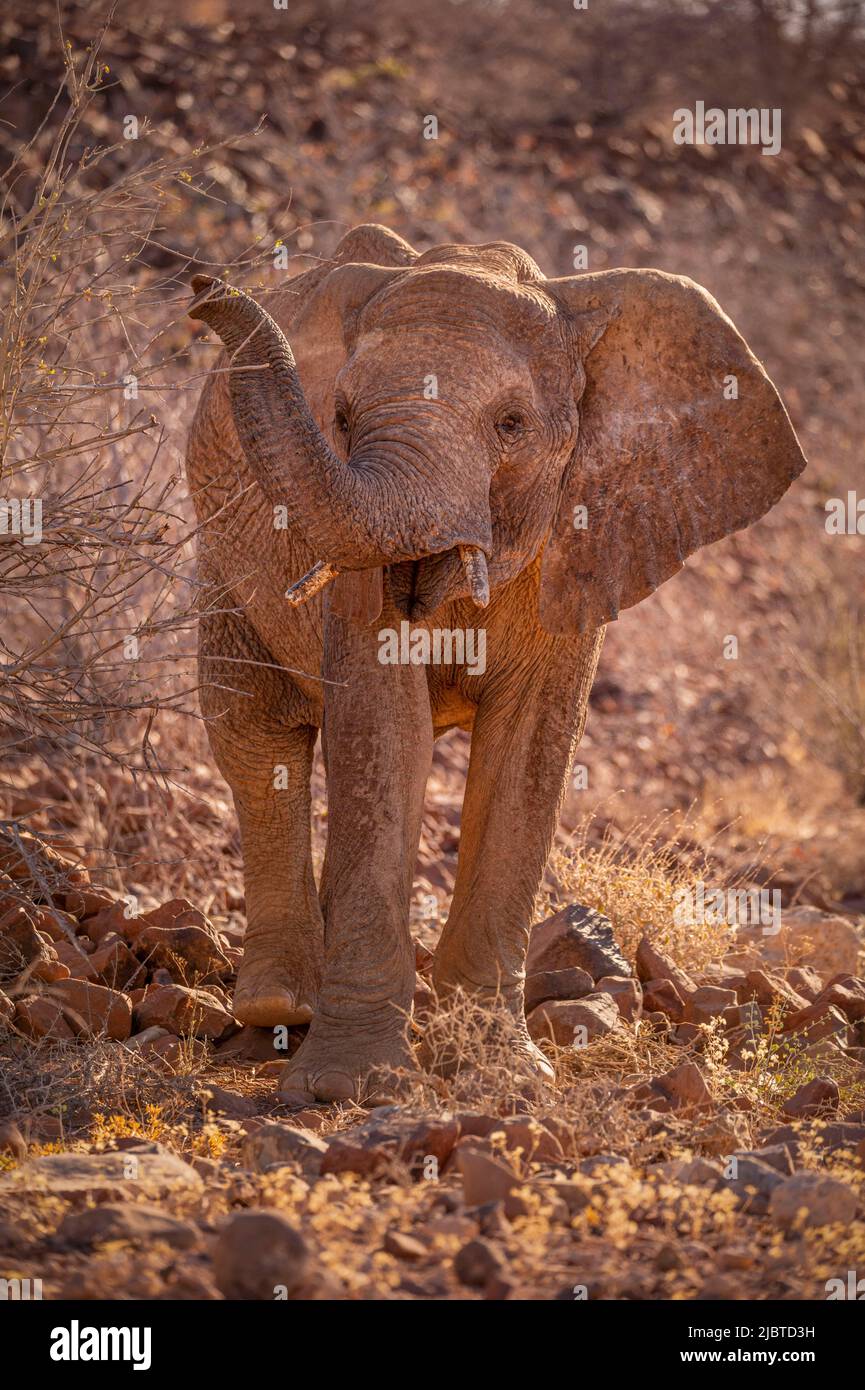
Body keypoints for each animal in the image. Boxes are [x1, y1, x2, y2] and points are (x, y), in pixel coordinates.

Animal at [185, 223, 805, 1102]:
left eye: (511, 424)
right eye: (338, 415)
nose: (203, 288)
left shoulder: (585, 536)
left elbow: (531, 745)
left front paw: (498, 1078)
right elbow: (383, 730)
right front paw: (351, 1089)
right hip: (221, 565)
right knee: (253, 738)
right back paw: (278, 1006)